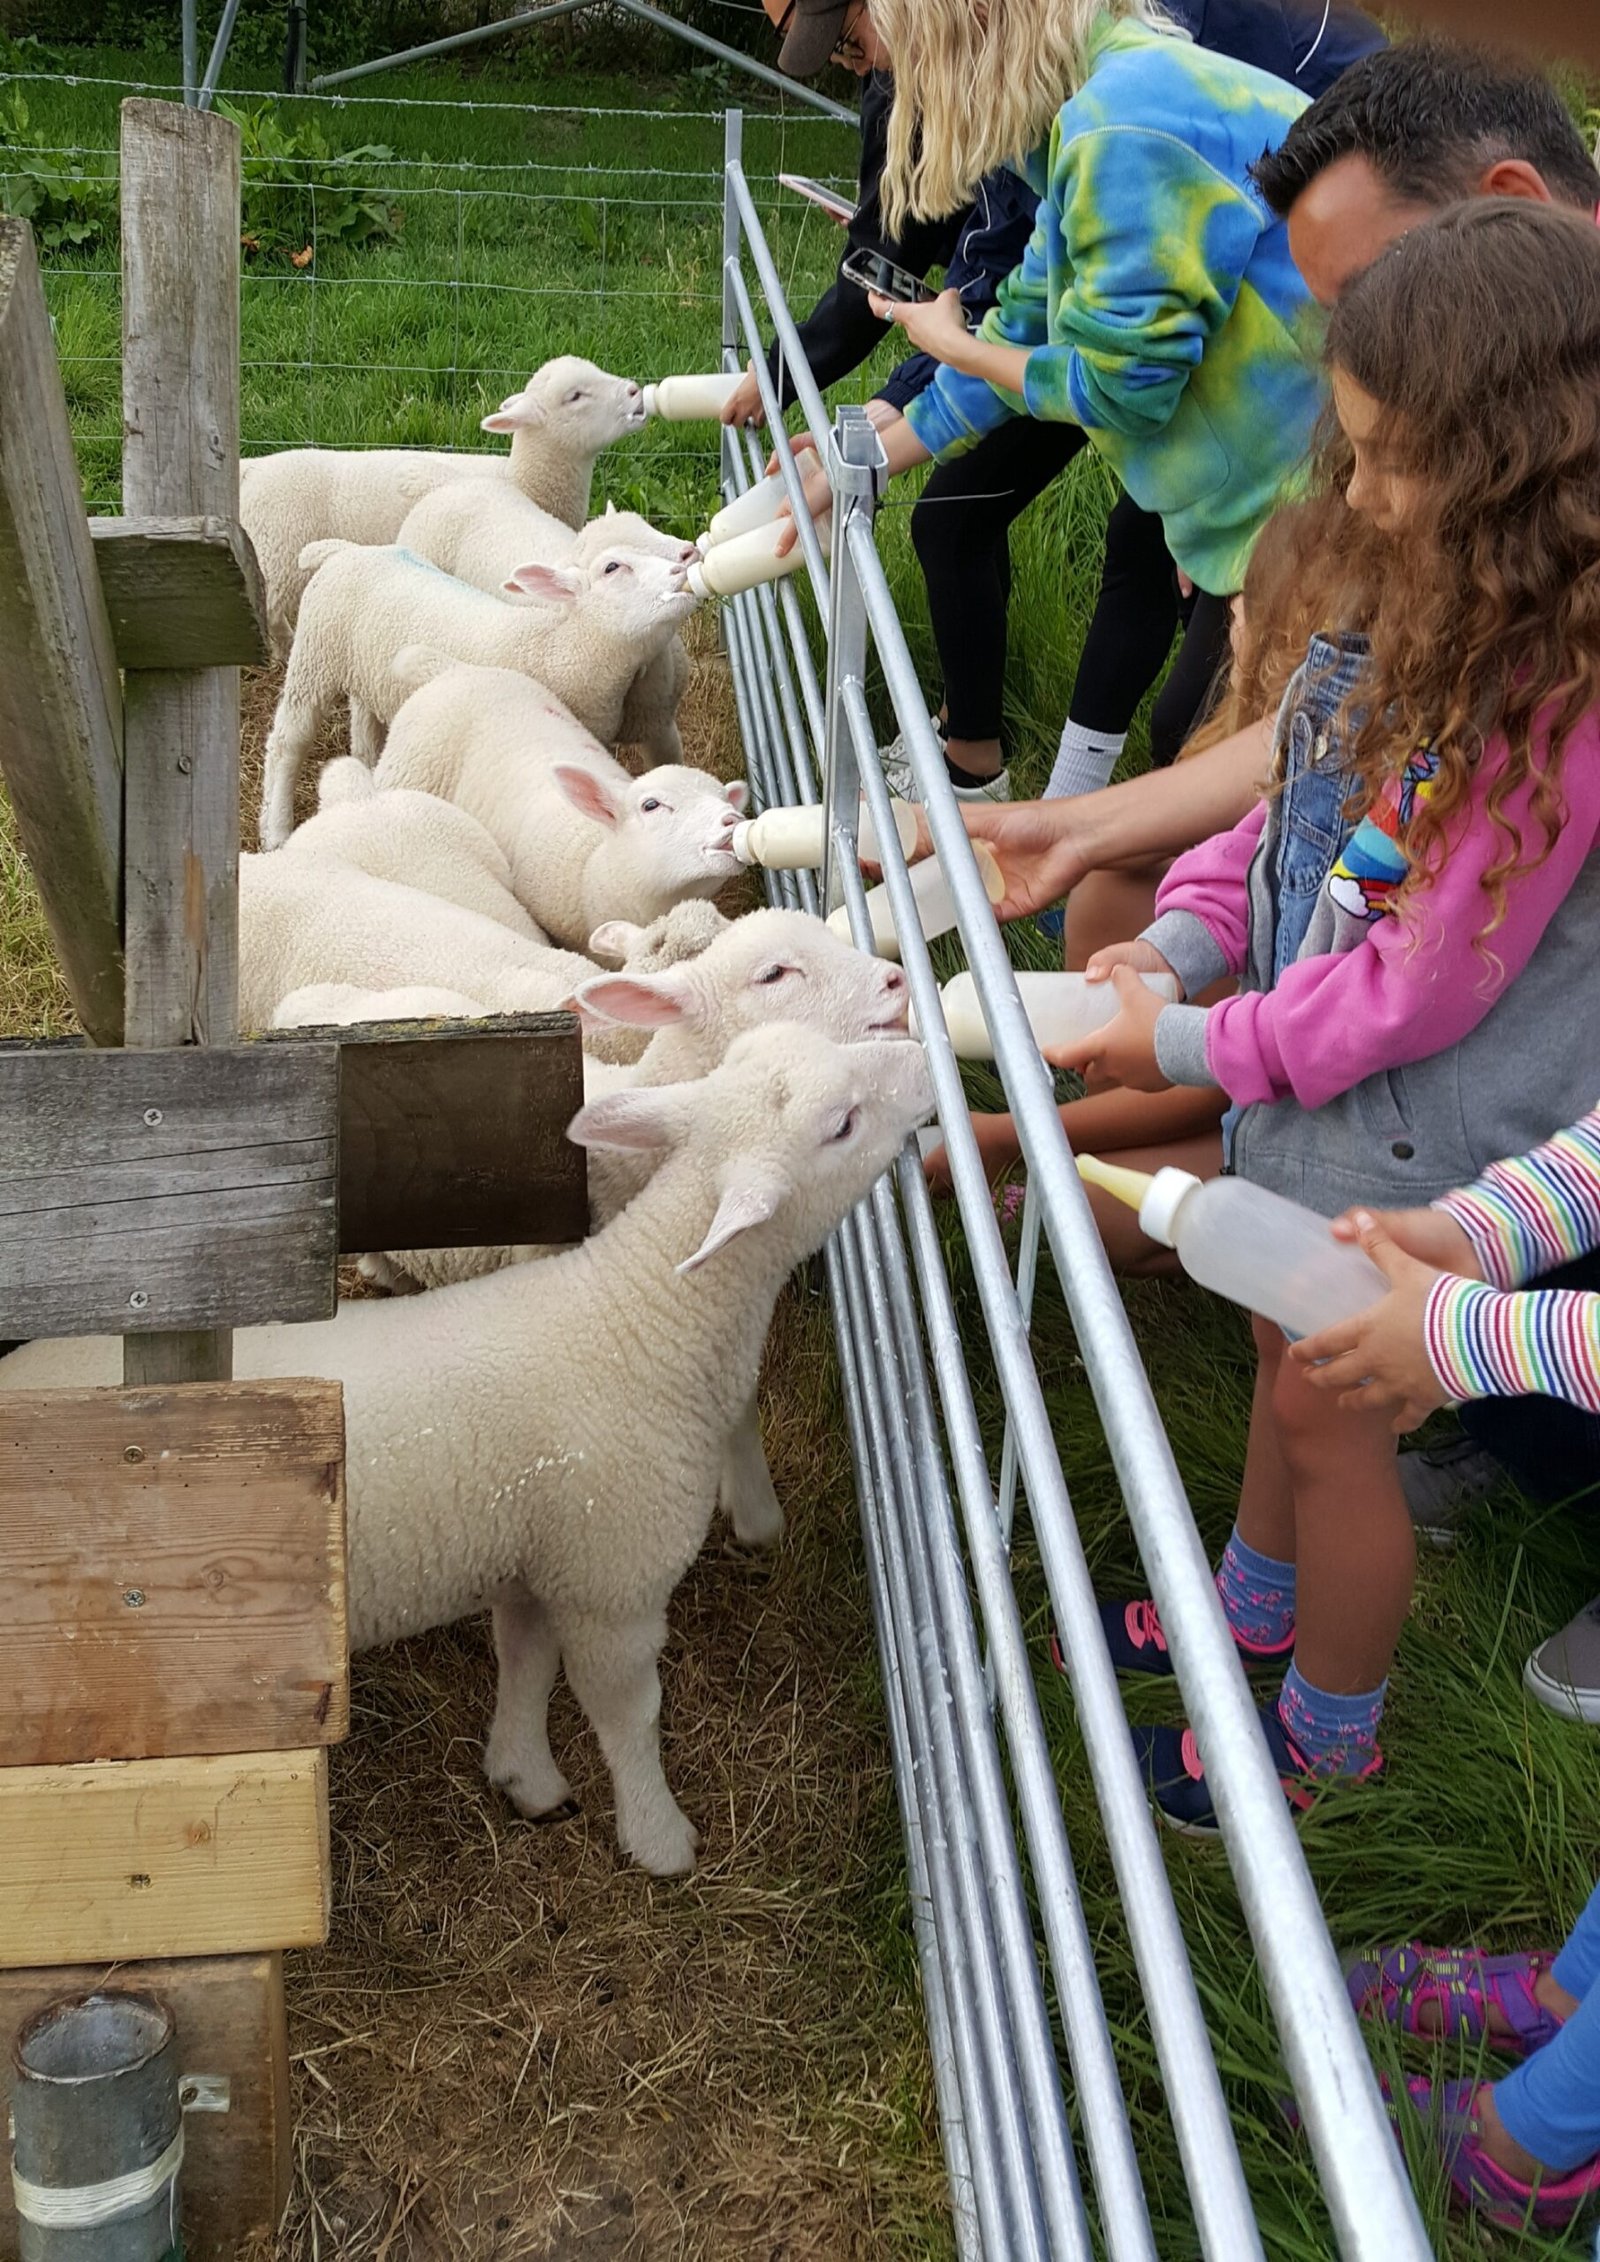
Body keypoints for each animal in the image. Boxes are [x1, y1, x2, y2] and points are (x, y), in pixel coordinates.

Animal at [0, 1026, 935, 1876]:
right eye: (842, 1124)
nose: (923, 1057)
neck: (642, 1319)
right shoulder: (613, 1583)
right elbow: (628, 1712)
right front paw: (659, 1837)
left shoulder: (537, 1558)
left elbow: (526, 1664)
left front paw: (525, 1776)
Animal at [240, 356, 645, 655]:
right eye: (574, 396)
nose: (636, 392)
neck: (520, 476)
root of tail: (253, 468)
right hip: (277, 554)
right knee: (270, 610)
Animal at [259, 543, 697, 849]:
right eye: (612, 568)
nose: (683, 568)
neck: (558, 647)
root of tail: (346, 549)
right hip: (316, 654)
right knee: (288, 741)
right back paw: (275, 829)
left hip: (366, 670)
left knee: (364, 727)